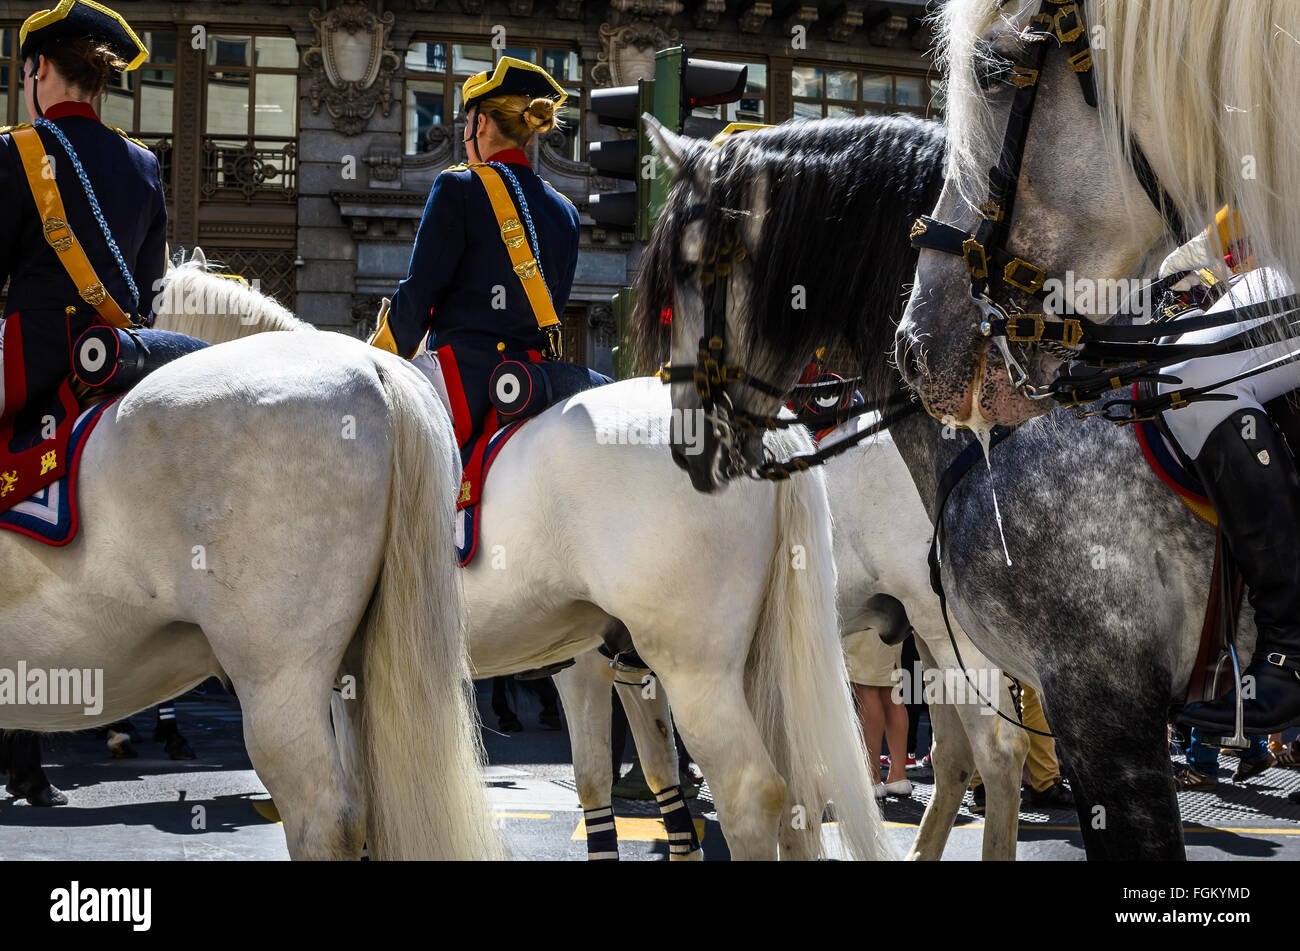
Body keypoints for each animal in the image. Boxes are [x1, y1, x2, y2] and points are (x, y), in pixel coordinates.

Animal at [155, 253, 890, 861]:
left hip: (698, 669)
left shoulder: (331, 674)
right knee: (796, 798)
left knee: (752, 794)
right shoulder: (597, 665)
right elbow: (617, 780)